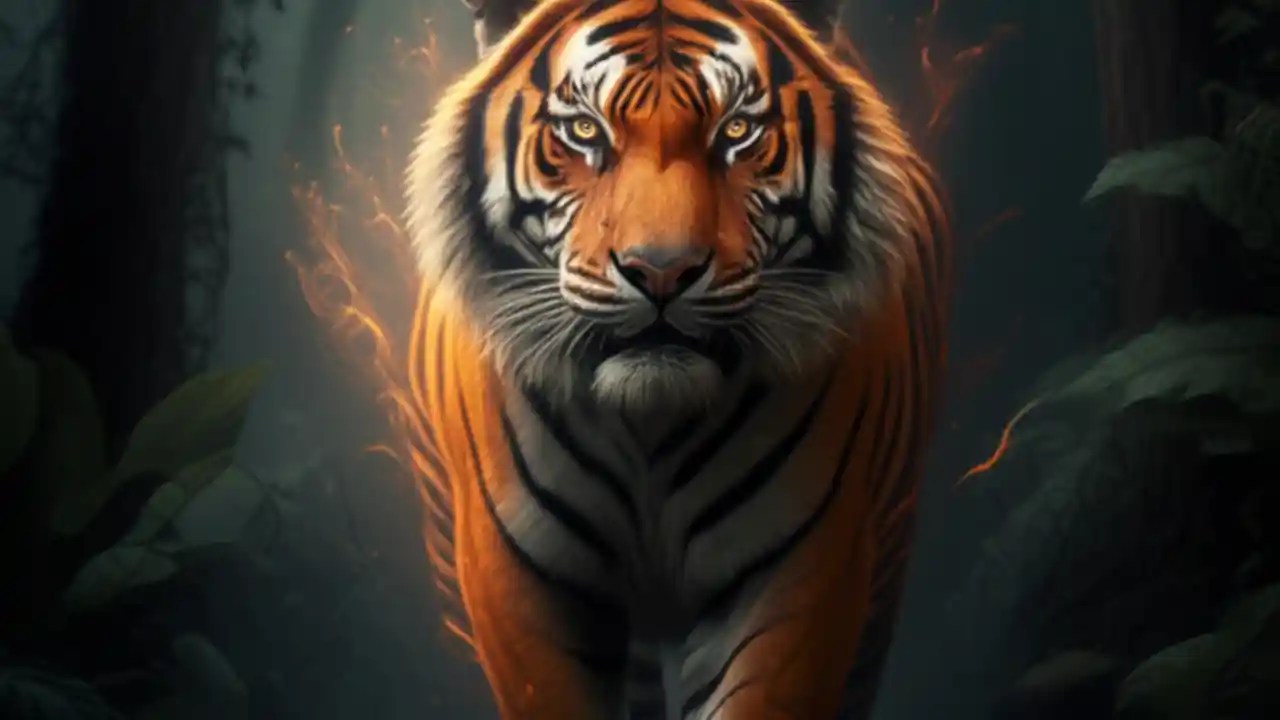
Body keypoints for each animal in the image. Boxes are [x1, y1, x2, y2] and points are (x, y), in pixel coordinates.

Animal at [403, 0, 949, 717]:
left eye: (737, 130)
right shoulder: (517, 580)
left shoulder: (800, 568)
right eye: (584, 129)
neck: (649, 427)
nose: (661, 271)